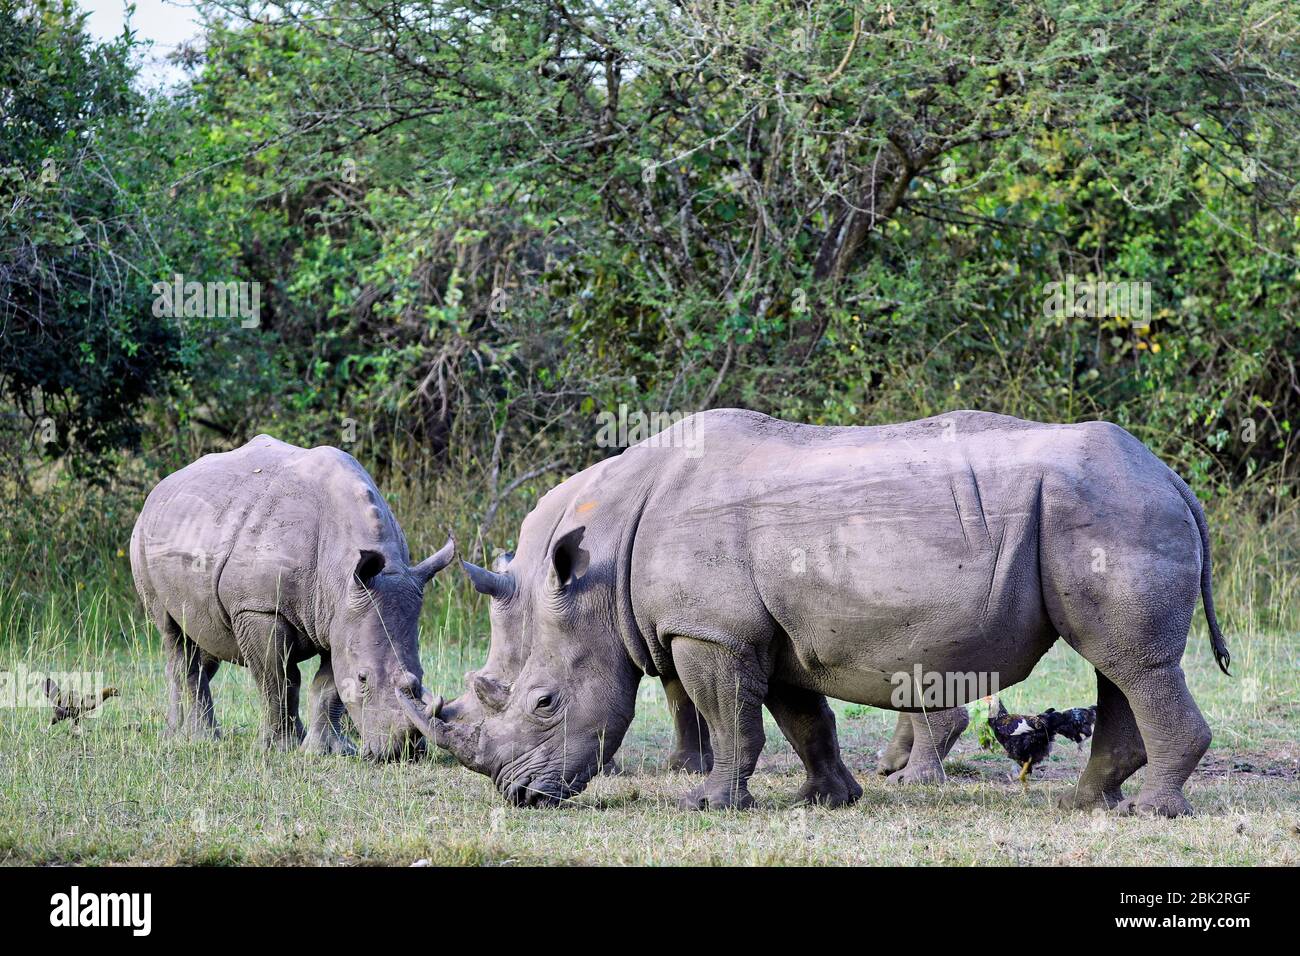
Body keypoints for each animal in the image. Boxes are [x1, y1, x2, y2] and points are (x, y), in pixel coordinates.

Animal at [130, 435, 453, 759]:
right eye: (363, 678)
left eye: (422, 674)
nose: (403, 752)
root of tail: (160, 488)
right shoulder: (258, 608)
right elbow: (278, 680)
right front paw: (279, 748)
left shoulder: (341, 615)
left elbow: (327, 685)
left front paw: (323, 750)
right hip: (143, 538)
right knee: (174, 635)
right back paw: (201, 739)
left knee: (206, 637)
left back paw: (178, 734)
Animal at [401, 410, 1229, 816]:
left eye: (544, 703)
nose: (518, 796)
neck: (598, 572)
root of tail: (1172, 478)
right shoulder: (767, 631)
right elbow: (802, 718)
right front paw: (827, 799)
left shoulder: (710, 630)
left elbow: (731, 717)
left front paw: (707, 804)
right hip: (1104, 509)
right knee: (1118, 665)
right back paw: (1089, 804)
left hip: (1112, 510)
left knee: (1134, 664)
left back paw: (1150, 813)